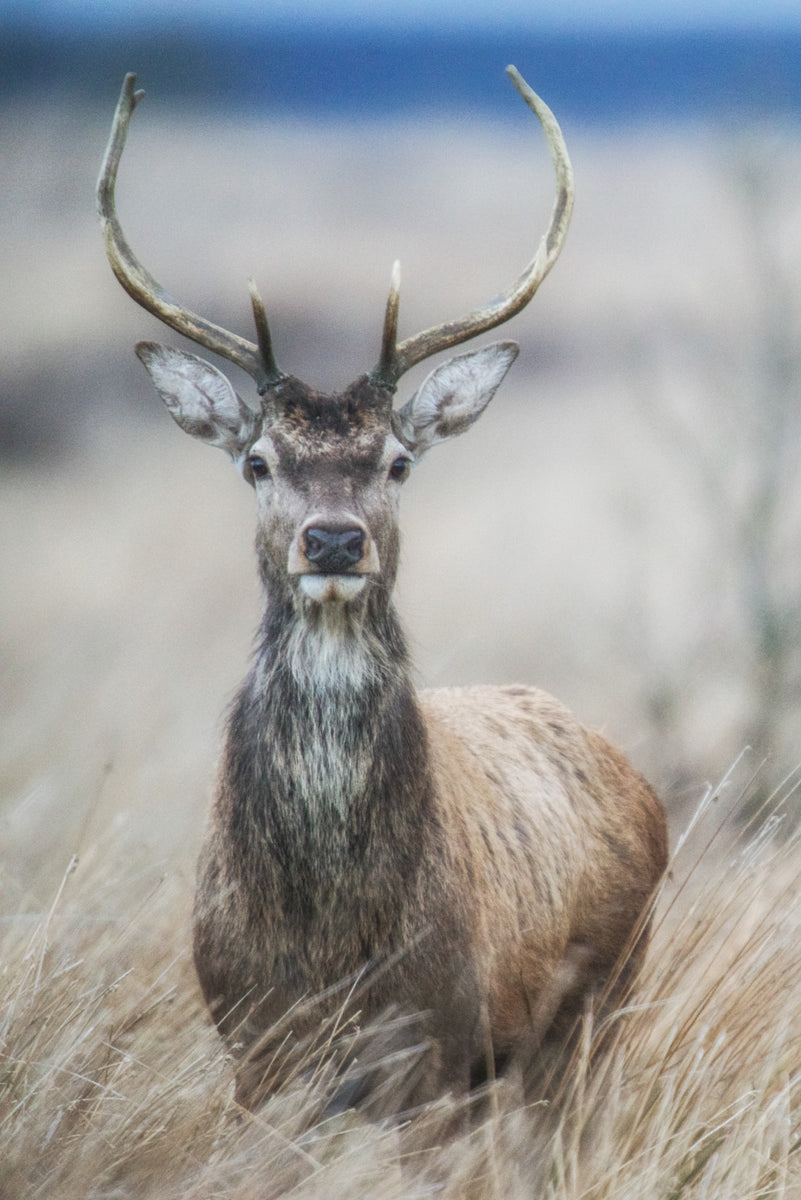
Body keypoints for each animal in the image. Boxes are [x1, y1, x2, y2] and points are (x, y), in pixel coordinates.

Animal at [97, 68, 667, 1113]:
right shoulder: (254, 1045)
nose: (332, 539)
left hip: (593, 1007)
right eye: (257, 461)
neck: (332, 944)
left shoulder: (436, 1042)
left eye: (397, 461)